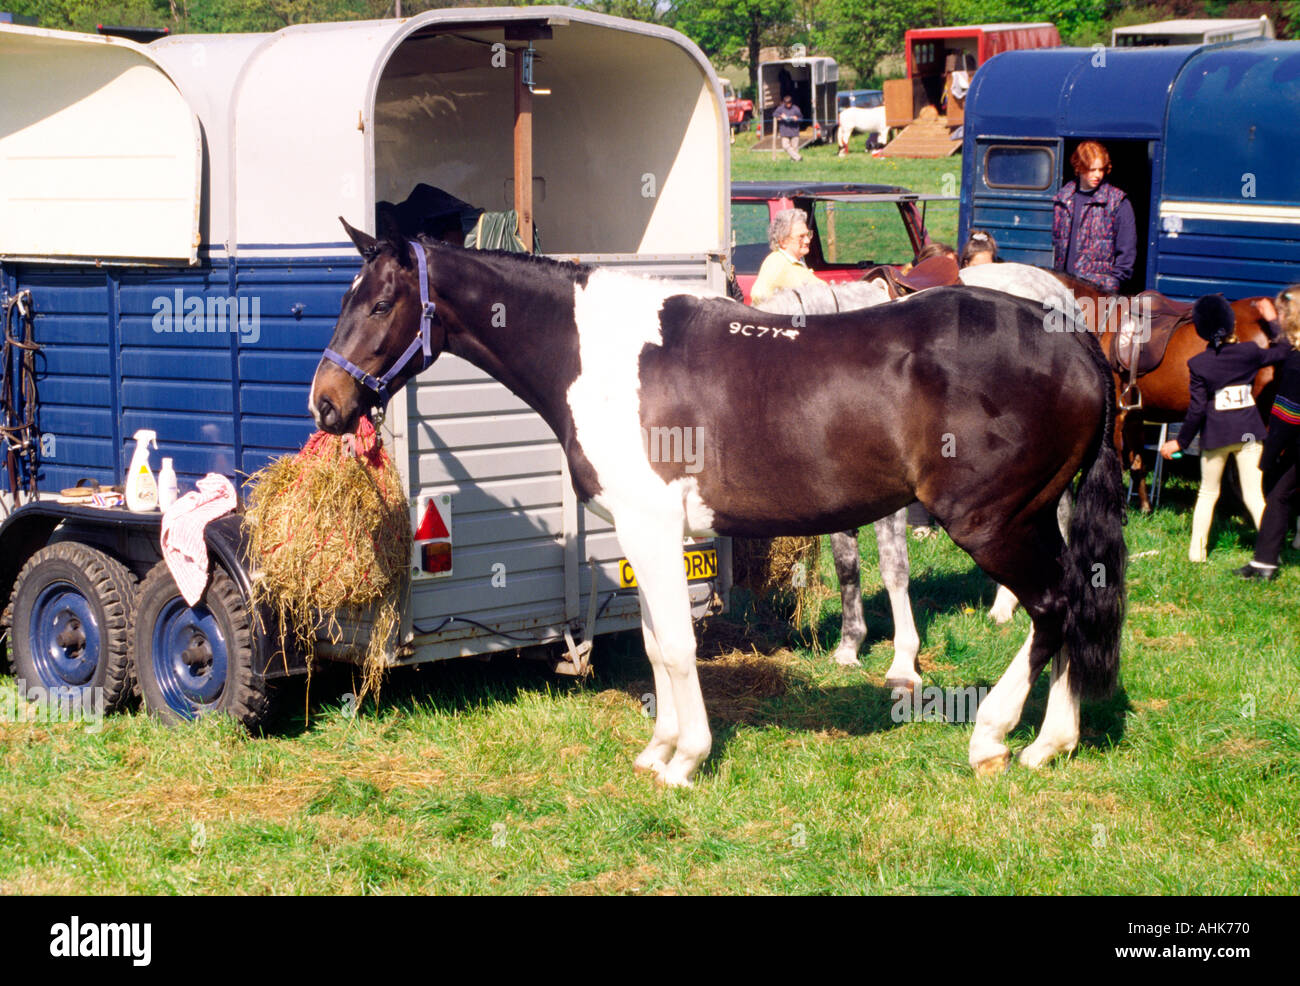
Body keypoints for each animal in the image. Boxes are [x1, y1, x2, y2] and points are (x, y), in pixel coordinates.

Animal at [310, 223, 1127, 785]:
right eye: (343, 299)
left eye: (379, 303)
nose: (327, 402)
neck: (600, 355)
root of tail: (1074, 340)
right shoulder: (642, 535)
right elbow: (652, 642)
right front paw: (659, 748)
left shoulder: (649, 526)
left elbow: (675, 645)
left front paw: (687, 759)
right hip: (1032, 518)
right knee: (1073, 604)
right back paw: (1052, 742)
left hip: (991, 522)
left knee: (1052, 607)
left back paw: (993, 735)